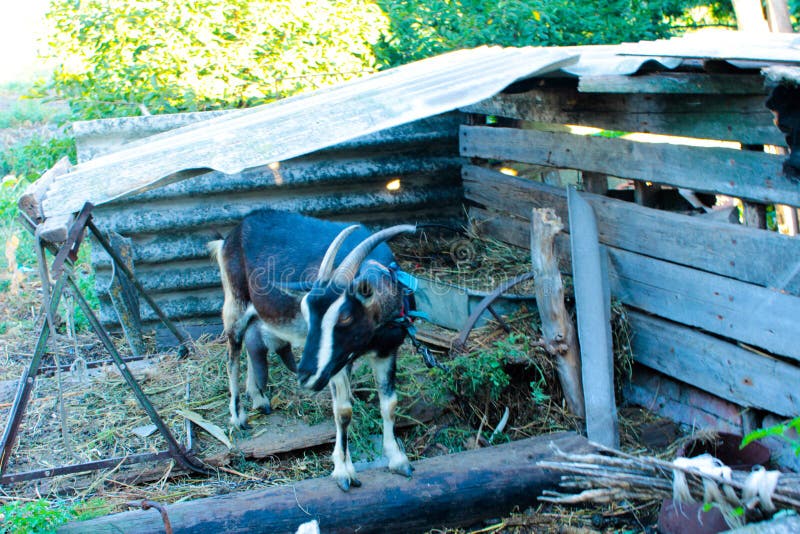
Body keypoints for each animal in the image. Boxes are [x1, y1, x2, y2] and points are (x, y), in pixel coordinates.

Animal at [210, 208, 416, 490]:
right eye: (306, 312)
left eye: (345, 317)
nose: (305, 375)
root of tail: (231, 236)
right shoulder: (335, 365)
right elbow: (343, 411)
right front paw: (343, 472)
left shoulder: (387, 351)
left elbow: (390, 404)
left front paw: (398, 460)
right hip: (234, 302)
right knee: (233, 353)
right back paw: (238, 416)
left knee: (254, 341)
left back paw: (259, 398)